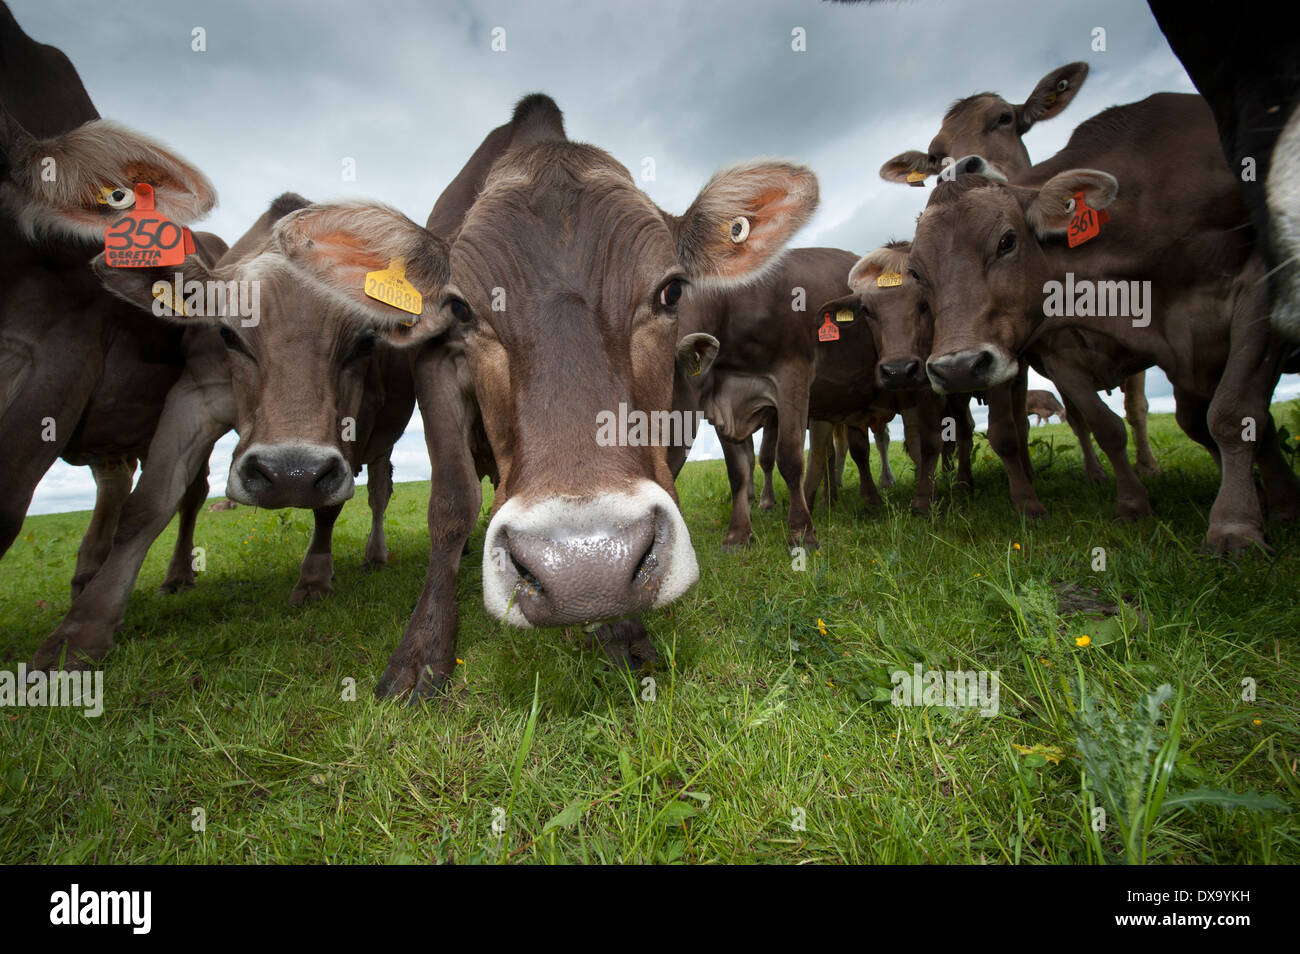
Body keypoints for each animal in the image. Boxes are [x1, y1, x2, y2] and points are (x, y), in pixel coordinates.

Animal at [373, 94, 818, 698]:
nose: (585, 568)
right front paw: (420, 653)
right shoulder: (432, 362)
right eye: (462, 309)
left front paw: (622, 631)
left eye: (671, 291)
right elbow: (449, 503)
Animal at [878, 61, 1161, 480]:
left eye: (1005, 119)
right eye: (935, 155)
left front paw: (1145, 468)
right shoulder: (1037, 355)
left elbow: (1133, 410)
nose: (958, 170)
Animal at [907, 93, 1300, 553]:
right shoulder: (1060, 356)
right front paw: (1132, 504)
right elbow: (1105, 426)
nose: (957, 368)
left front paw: (1237, 526)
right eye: (915, 272)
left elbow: (1234, 414)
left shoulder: (1257, 287)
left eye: (1007, 241)